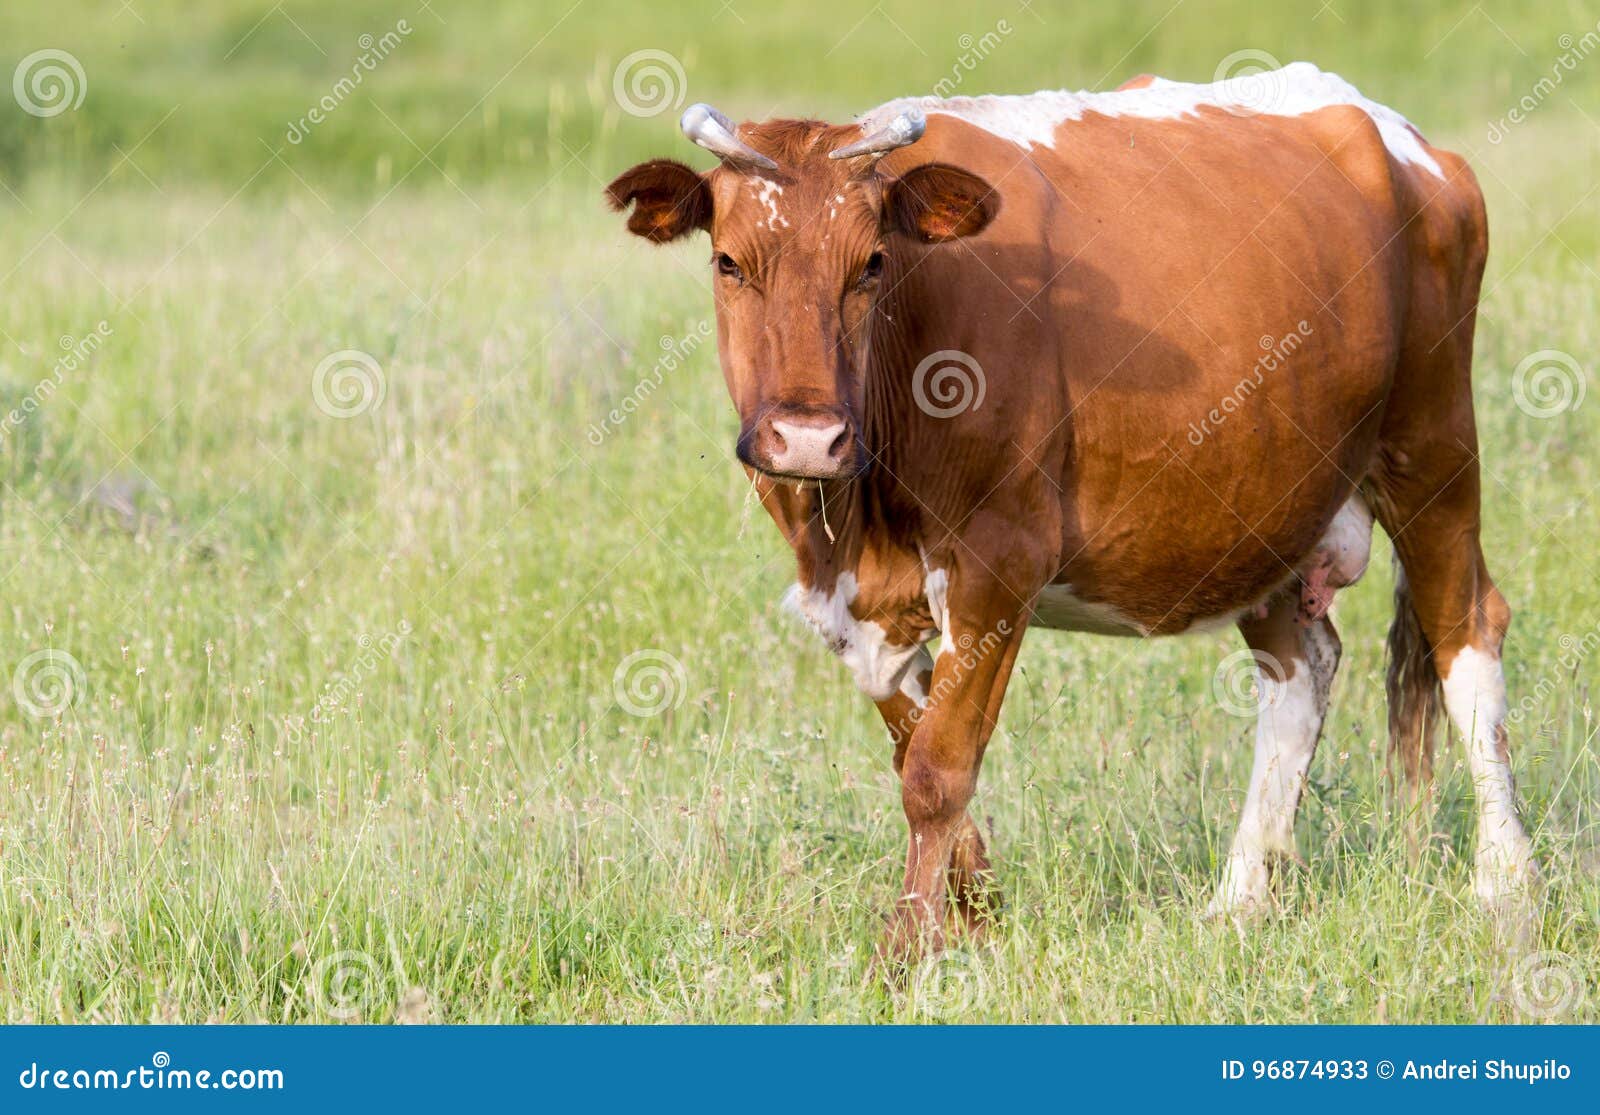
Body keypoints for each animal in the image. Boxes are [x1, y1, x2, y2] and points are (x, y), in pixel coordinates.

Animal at [606, 62, 1537, 963]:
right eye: (729, 262)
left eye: (871, 261)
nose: (806, 437)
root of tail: (1388, 129)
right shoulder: (849, 599)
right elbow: (914, 749)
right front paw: (976, 925)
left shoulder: (1000, 559)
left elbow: (937, 767)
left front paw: (905, 958)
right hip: (1263, 503)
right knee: (1300, 670)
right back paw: (1239, 901)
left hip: (1433, 446)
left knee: (1466, 631)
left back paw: (1504, 882)